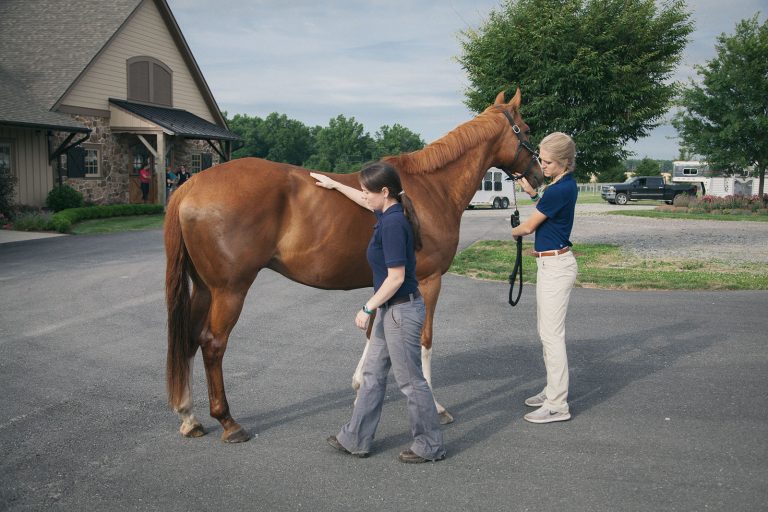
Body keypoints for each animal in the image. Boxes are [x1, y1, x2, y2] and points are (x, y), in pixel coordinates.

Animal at [165, 89, 543, 442]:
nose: (539, 176)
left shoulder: (387, 280)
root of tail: (190, 185)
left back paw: (189, 417)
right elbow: (424, 339)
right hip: (229, 290)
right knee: (213, 343)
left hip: (203, 288)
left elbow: (374, 331)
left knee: (189, 339)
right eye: (526, 129)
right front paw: (435, 407)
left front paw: (362, 383)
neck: (430, 189)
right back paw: (228, 422)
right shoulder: (428, 280)